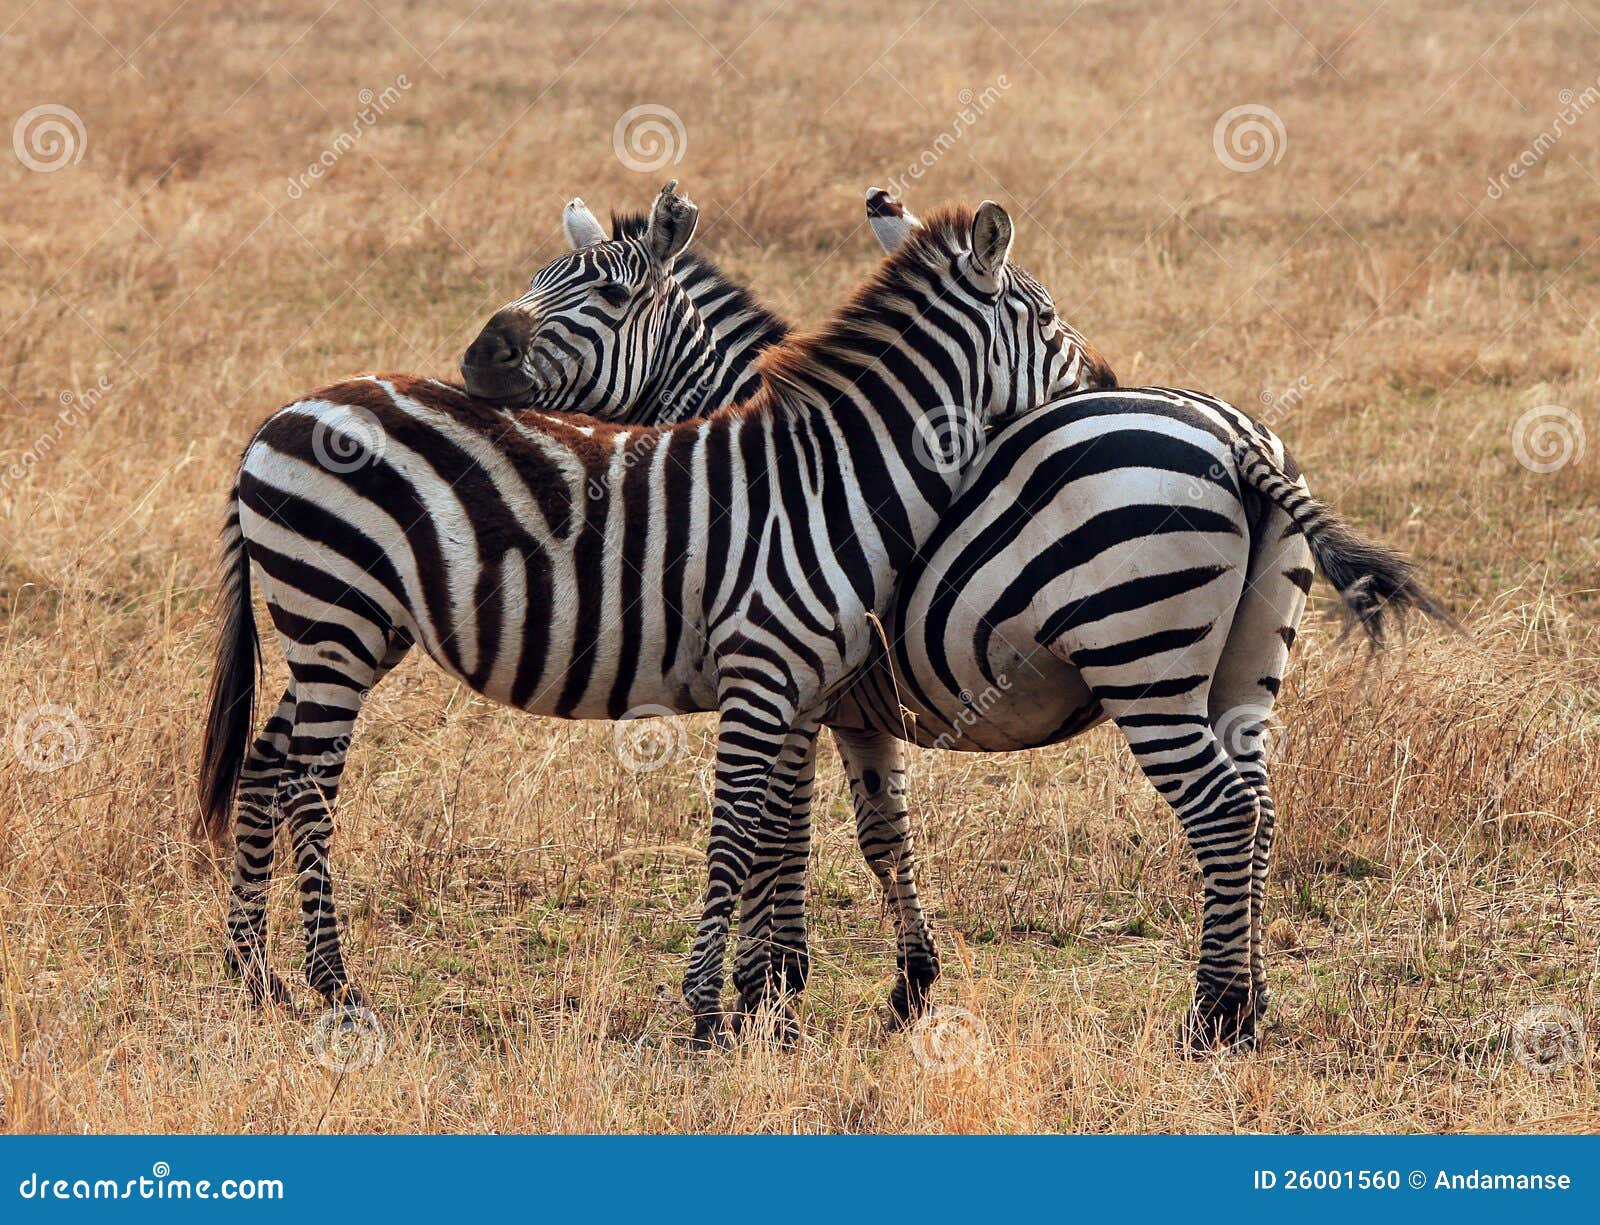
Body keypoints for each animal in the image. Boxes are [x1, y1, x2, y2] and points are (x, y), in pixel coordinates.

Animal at [197, 181, 1115, 1045]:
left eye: (604, 292)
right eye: (1045, 319)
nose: (1108, 386)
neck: (832, 479)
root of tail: (281, 416)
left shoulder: (815, 690)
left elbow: (819, 831)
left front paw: (784, 996)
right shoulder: (769, 673)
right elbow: (750, 831)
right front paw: (735, 1002)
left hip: (344, 629)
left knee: (267, 760)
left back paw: (257, 974)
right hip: (336, 617)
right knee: (310, 785)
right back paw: (336, 986)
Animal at [726, 192, 1448, 1049]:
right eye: (1046, 319)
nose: (1106, 377)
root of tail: (1238, 439)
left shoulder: (793, 686)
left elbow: (779, 833)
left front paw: (767, 992)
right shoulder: (855, 708)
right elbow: (879, 833)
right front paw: (903, 987)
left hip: (1143, 657)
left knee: (1222, 810)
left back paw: (1212, 1013)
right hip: (1249, 664)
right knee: (1260, 806)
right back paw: (1251, 1001)